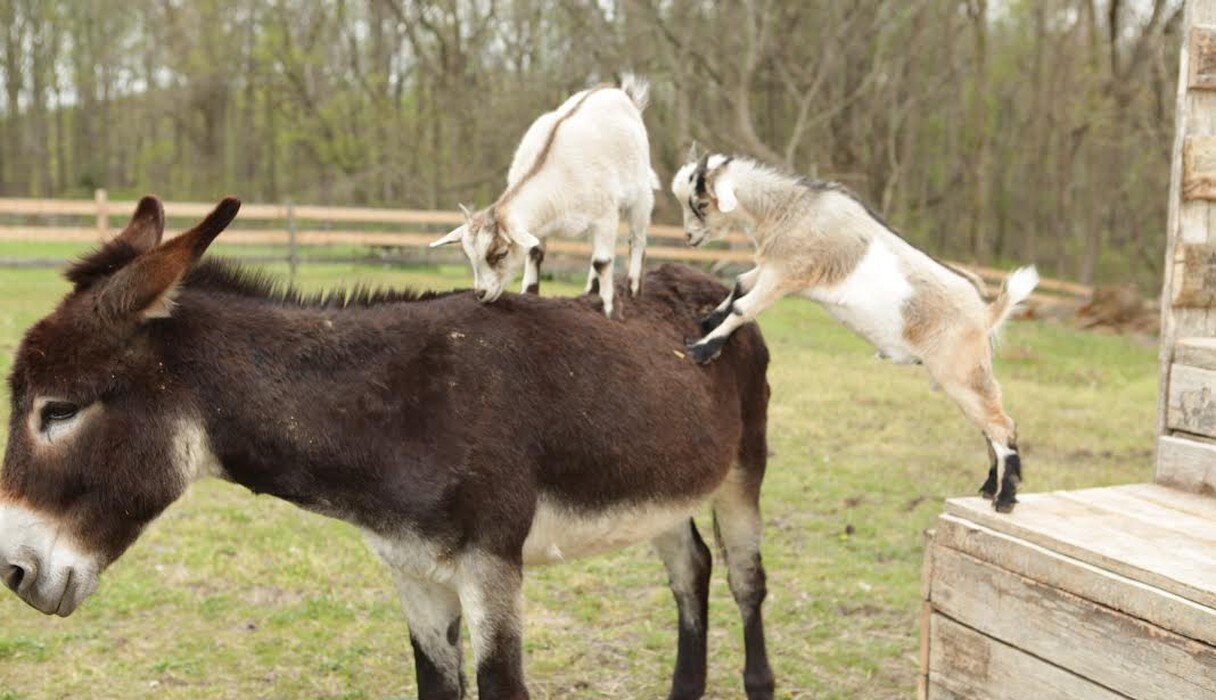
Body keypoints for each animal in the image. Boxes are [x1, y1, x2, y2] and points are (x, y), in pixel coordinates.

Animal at [431, 74, 659, 318]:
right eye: (468, 255)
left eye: (501, 253)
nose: (481, 293)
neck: (560, 174)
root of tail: (622, 93)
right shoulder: (540, 224)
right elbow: (535, 253)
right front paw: (529, 292)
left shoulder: (605, 215)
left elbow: (602, 261)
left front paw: (612, 310)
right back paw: (591, 289)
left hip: (641, 195)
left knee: (637, 239)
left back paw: (633, 288)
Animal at [671, 151, 1039, 512]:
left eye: (700, 203)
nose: (689, 238)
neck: (795, 209)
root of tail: (987, 313)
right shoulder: (771, 269)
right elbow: (739, 285)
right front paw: (707, 321)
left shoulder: (787, 274)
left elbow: (744, 307)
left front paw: (702, 348)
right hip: (965, 377)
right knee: (990, 426)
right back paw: (989, 488)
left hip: (960, 372)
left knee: (1001, 425)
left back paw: (1005, 498)